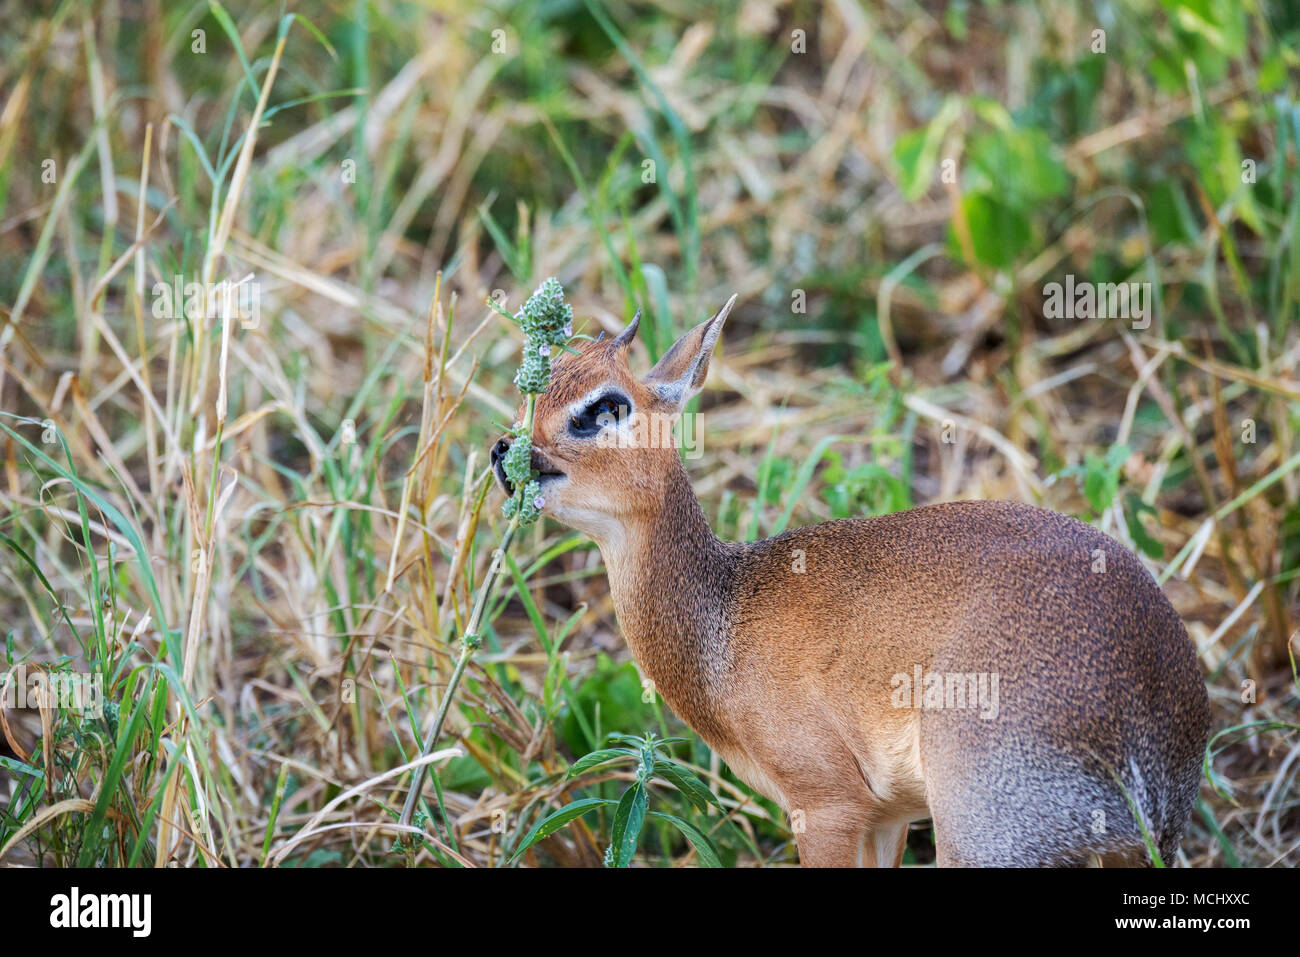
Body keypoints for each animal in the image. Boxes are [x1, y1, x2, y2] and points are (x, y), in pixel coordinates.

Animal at [490, 294, 1210, 867]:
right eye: (540, 387)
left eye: (606, 405)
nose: (505, 451)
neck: (724, 619)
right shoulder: (887, 816)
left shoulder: (826, 803)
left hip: (982, 839)